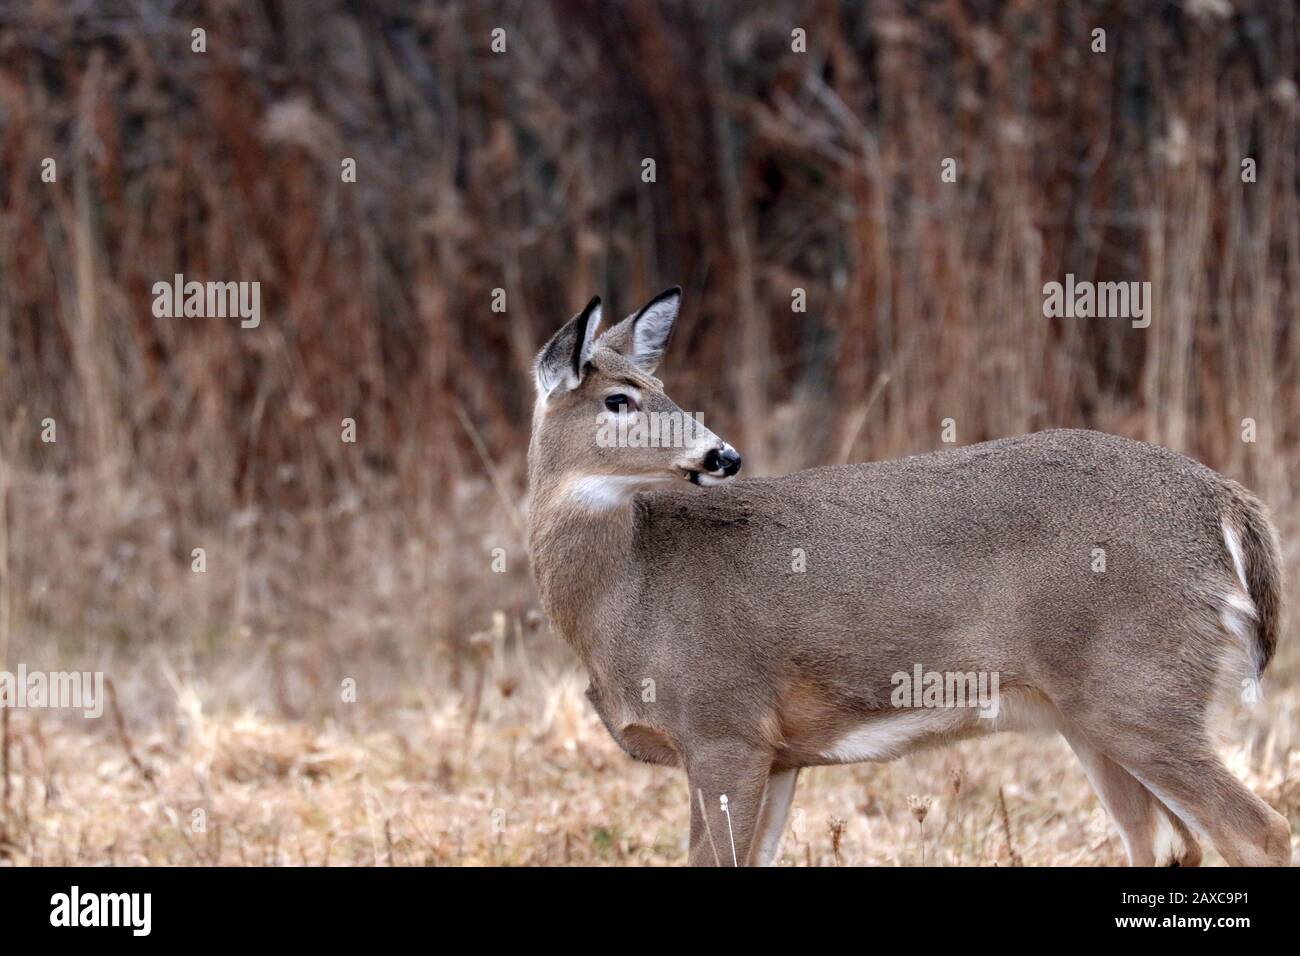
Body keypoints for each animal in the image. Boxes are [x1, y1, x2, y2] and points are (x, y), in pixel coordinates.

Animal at [526, 287, 1292, 867]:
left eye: (656, 387)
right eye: (620, 399)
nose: (723, 455)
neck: (627, 597)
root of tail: (1225, 503)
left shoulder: (724, 726)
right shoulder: (777, 754)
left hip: (1139, 684)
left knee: (1260, 831)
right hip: (1088, 711)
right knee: (1168, 844)